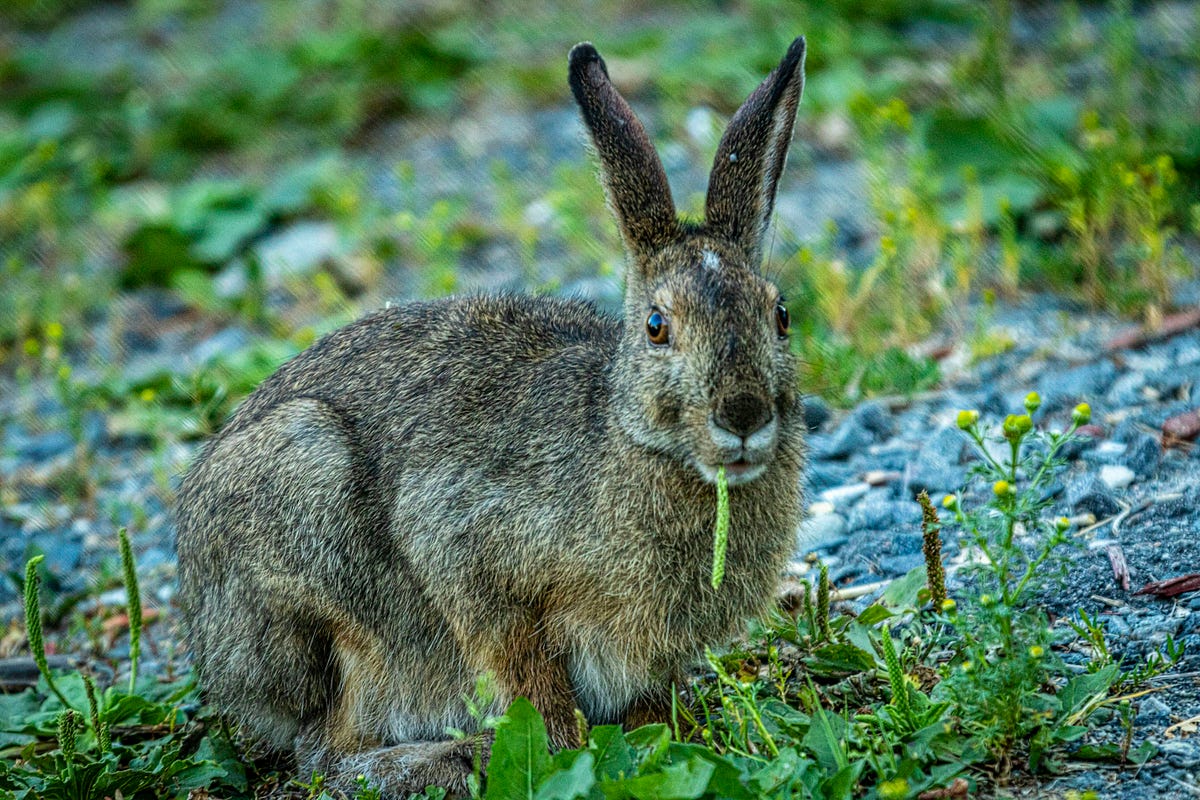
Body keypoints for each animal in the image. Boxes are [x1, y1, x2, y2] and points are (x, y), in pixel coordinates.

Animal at [176, 36, 808, 798]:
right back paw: (449, 760)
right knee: (325, 748)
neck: (632, 440)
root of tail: (206, 637)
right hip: (320, 547)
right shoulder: (466, 552)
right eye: (658, 327)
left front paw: (666, 735)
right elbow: (528, 677)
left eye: (781, 316)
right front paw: (565, 752)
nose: (743, 415)